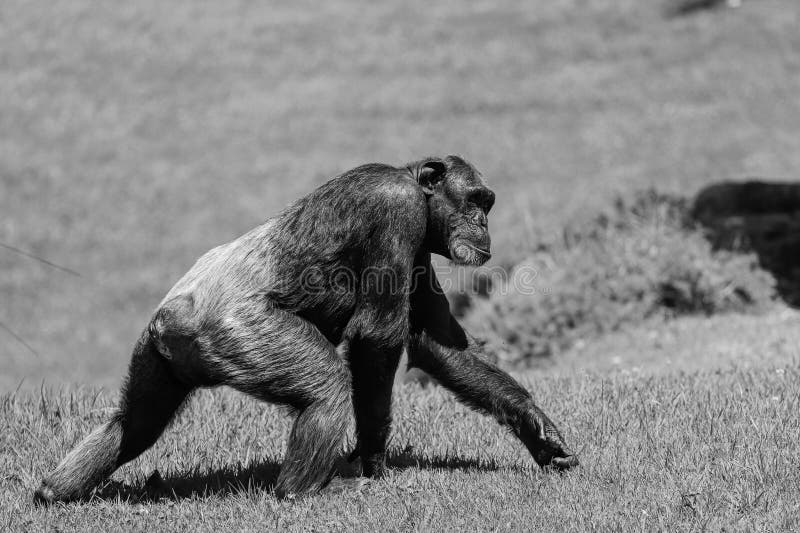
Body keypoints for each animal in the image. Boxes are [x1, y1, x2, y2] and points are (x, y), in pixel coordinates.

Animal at [34, 155, 578, 504]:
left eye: (488, 203)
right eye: (474, 200)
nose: (484, 224)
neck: (416, 191)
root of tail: (175, 320)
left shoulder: (422, 249)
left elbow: (437, 345)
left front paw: (538, 430)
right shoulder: (396, 211)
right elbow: (376, 338)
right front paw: (372, 463)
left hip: (157, 353)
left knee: (135, 422)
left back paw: (56, 489)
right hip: (245, 334)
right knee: (327, 387)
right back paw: (305, 491)